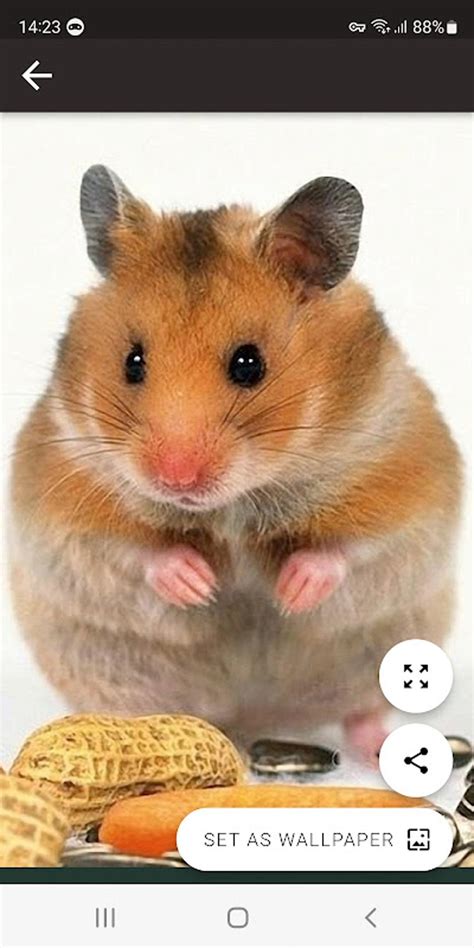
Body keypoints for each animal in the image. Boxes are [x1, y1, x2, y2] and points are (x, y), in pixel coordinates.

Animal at [9, 166, 462, 761]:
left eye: (249, 364)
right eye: (133, 362)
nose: (175, 479)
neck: (235, 504)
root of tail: (254, 720)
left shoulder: (406, 490)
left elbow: (351, 549)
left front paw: (290, 594)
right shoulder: (64, 507)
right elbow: (129, 550)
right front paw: (199, 585)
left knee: (360, 712)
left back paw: (377, 746)